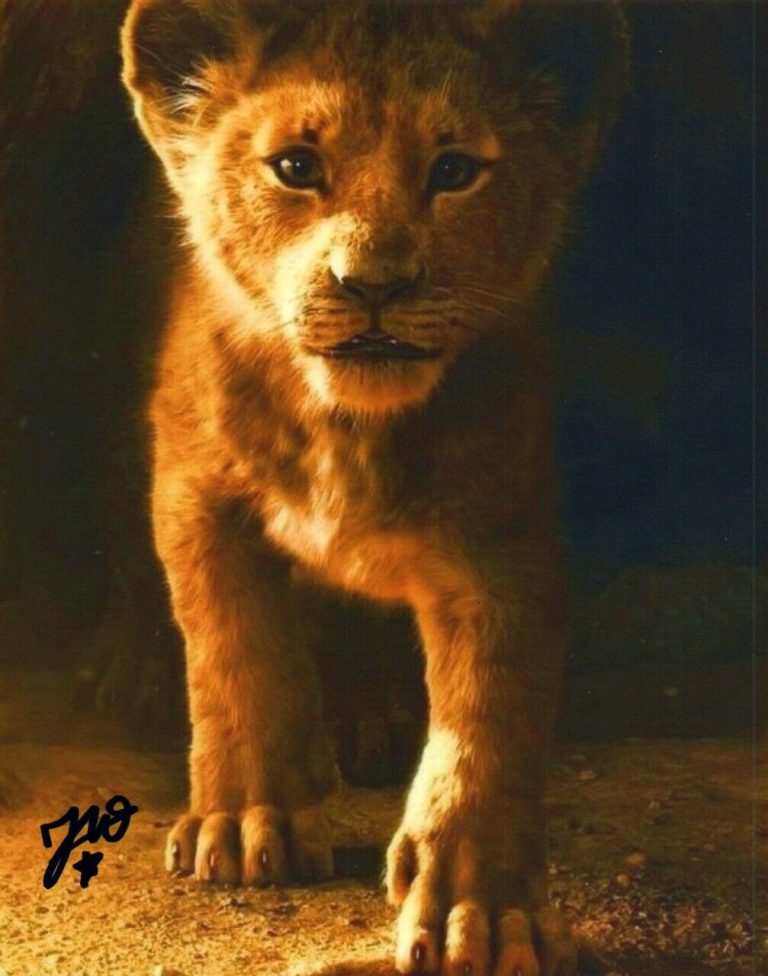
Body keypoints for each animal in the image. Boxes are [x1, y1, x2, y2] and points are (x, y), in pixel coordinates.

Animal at [120, 1, 628, 973]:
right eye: (295, 167)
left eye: (454, 171)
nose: (374, 286)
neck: (348, 427)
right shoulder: (197, 492)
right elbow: (235, 654)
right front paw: (246, 821)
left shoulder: (501, 542)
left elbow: (488, 724)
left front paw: (479, 909)